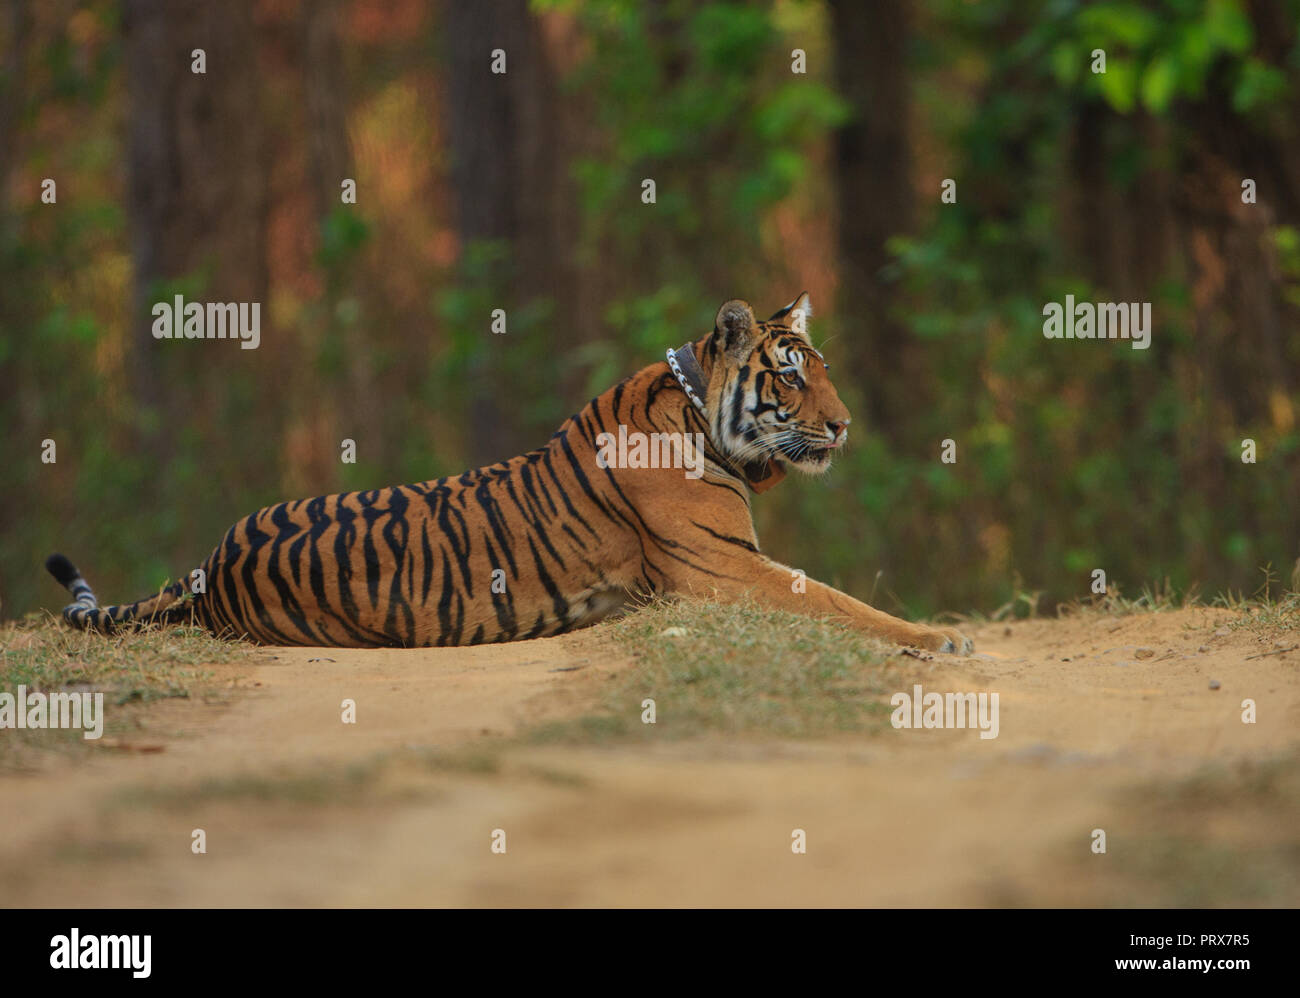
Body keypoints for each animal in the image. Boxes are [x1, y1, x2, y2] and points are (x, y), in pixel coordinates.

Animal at [46, 294, 973, 654]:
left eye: (823, 370)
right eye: (790, 377)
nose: (845, 425)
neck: (701, 418)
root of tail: (211, 563)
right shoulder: (724, 568)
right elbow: (844, 603)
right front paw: (942, 638)